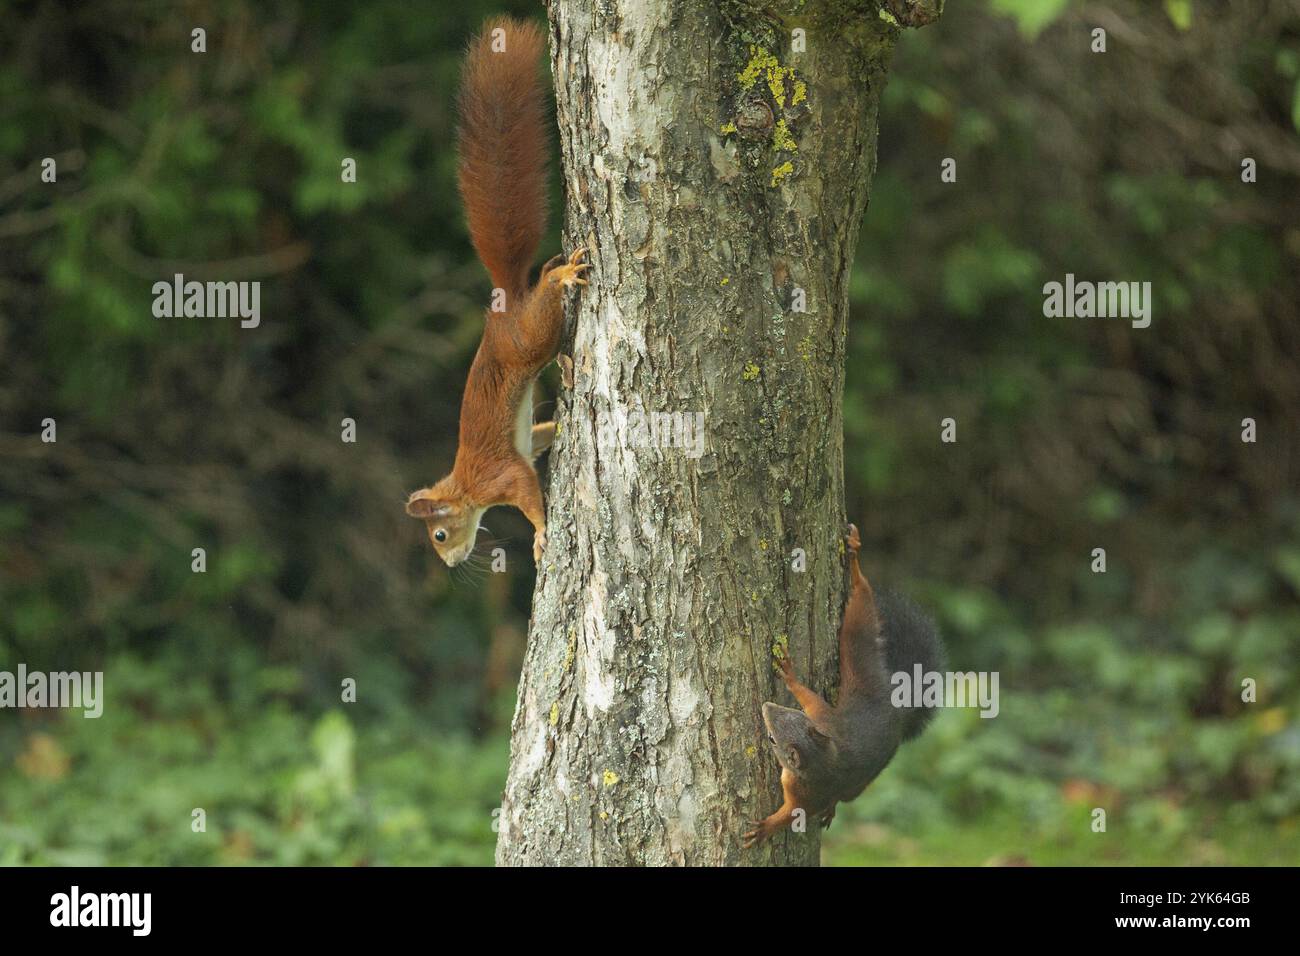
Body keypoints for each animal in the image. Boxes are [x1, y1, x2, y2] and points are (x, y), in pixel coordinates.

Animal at [406, 18, 589, 566]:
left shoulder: (499, 477)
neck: (464, 487)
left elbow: (528, 492)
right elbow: (538, 440)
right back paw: (555, 266)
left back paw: (559, 278)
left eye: (439, 535)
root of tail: (504, 305)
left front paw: (542, 533)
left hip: (531, 337)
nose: (450, 563)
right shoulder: (521, 451)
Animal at [744, 523, 946, 848]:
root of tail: (898, 709)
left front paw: (765, 828)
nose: (767, 705)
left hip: (857, 651)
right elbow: (811, 698)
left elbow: (793, 814)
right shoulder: (824, 719)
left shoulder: (805, 789)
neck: (824, 758)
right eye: (795, 716)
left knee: (861, 599)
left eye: (773, 739)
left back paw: (854, 558)